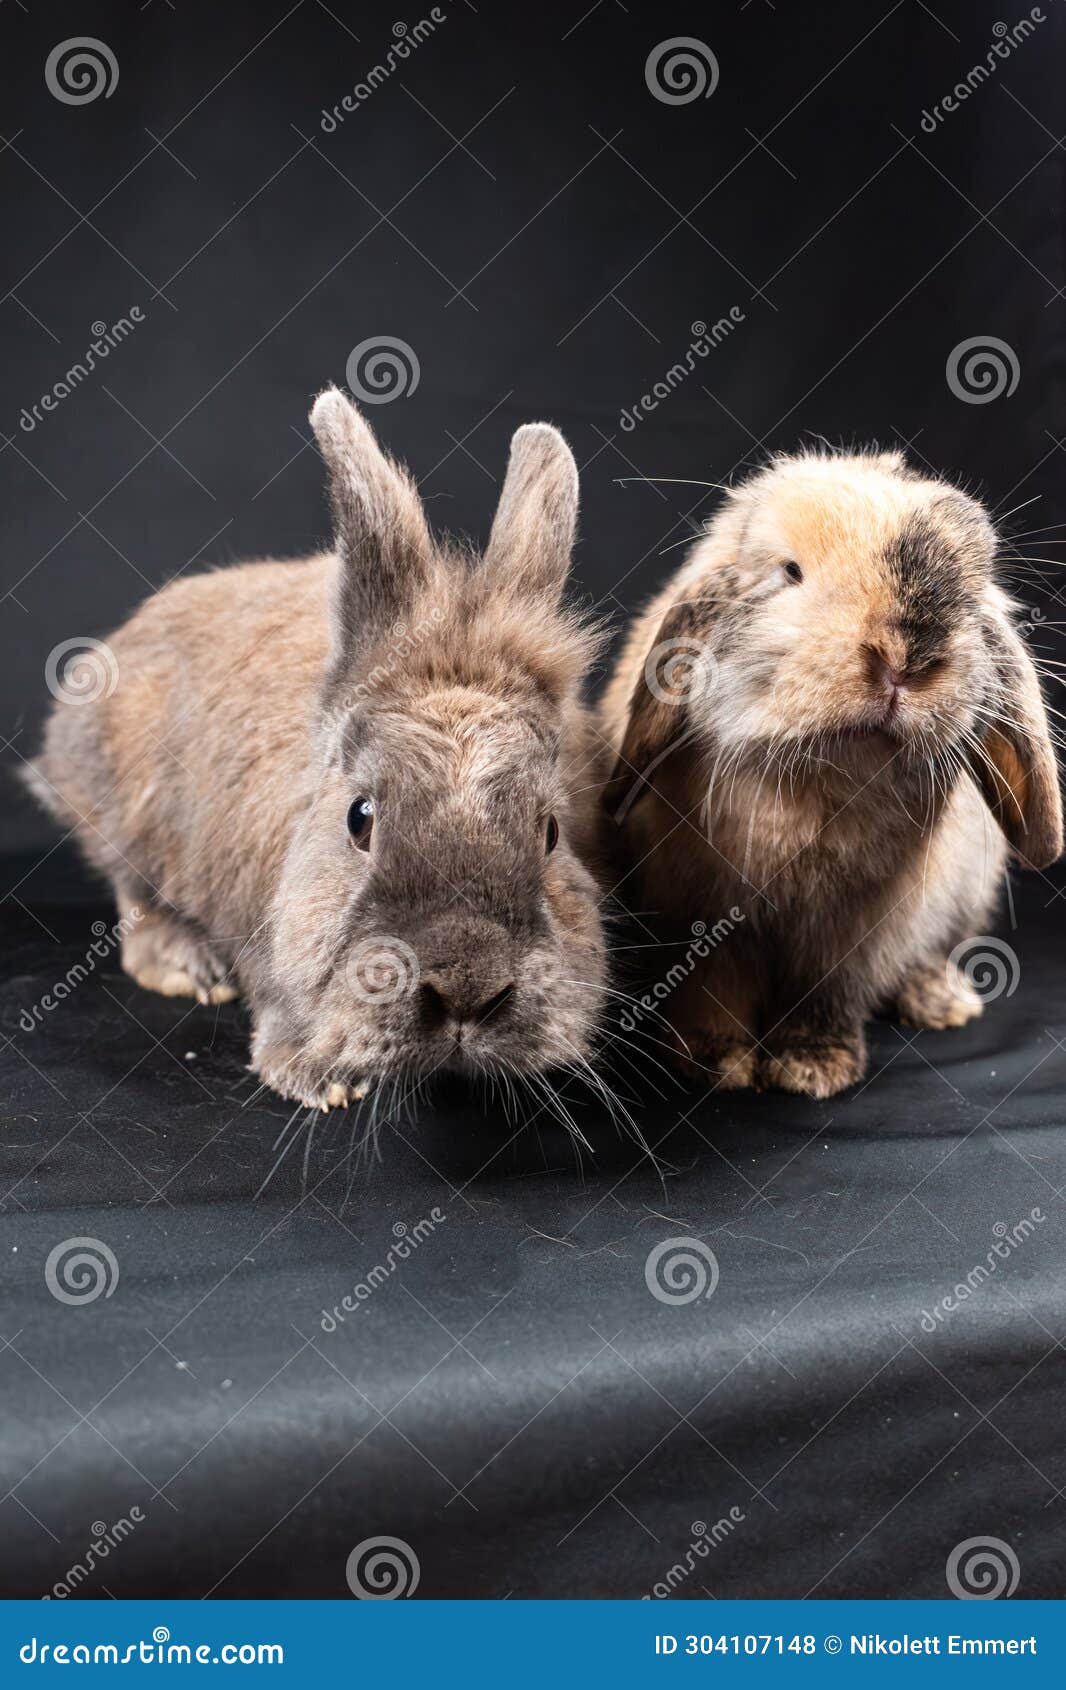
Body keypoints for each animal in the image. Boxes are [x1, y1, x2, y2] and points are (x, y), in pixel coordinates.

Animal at [27, 387, 609, 1109]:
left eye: (551, 831)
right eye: (359, 818)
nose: (467, 990)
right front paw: (321, 1079)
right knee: (131, 892)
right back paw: (189, 966)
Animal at [600, 447, 1062, 1099]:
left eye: (970, 598)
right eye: (790, 571)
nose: (904, 659)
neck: (829, 780)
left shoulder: (851, 938)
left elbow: (826, 996)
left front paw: (813, 1067)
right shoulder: (706, 917)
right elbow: (714, 988)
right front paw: (714, 1062)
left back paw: (942, 1003)